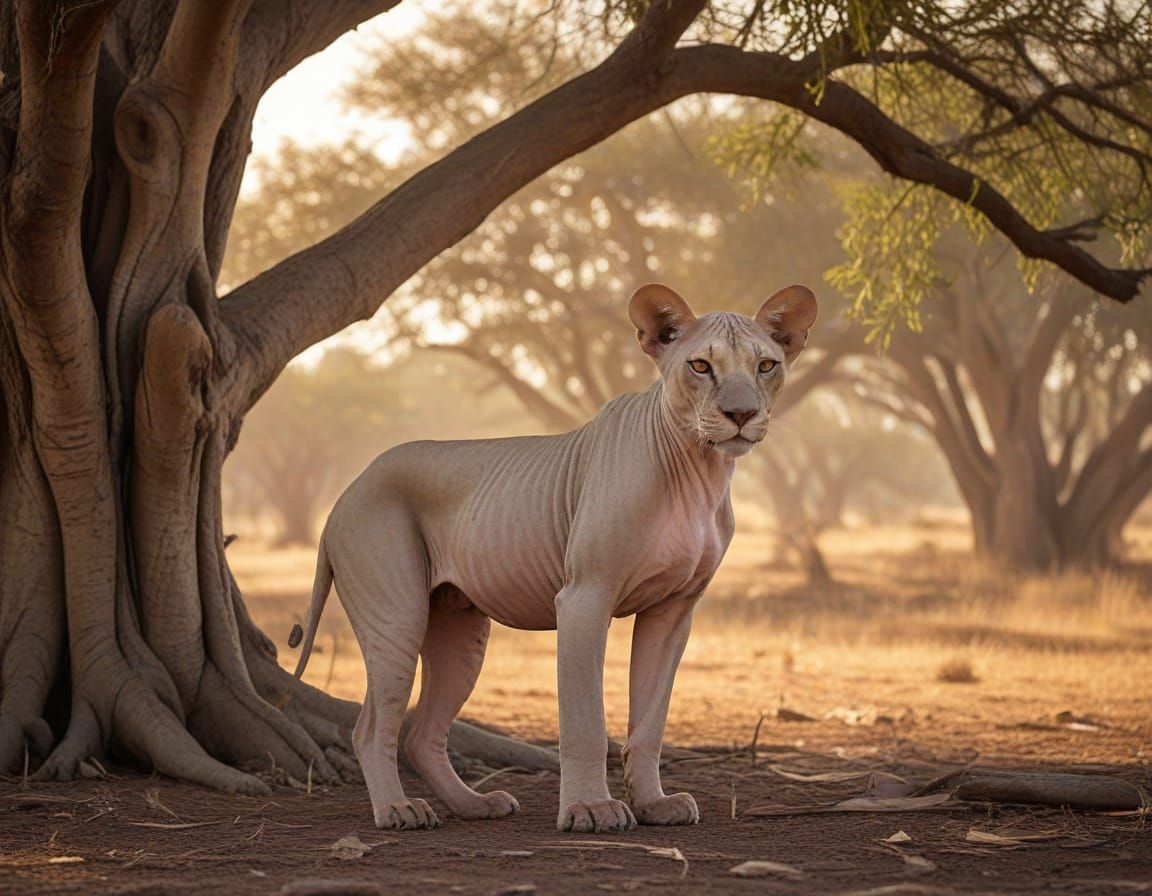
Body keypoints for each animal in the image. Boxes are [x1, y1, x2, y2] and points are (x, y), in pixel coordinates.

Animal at [281, 282, 817, 832]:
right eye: (701, 366)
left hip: (460, 633)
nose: (741, 415)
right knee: (371, 727)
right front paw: (590, 809)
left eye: (766, 366)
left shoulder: (672, 611)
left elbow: (650, 720)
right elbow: (585, 722)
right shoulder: (585, 597)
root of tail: (349, 489)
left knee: (421, 733)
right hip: (398, 615)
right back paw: (399, 810)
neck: (699, 469)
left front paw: (654, 805)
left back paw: (475, 804)